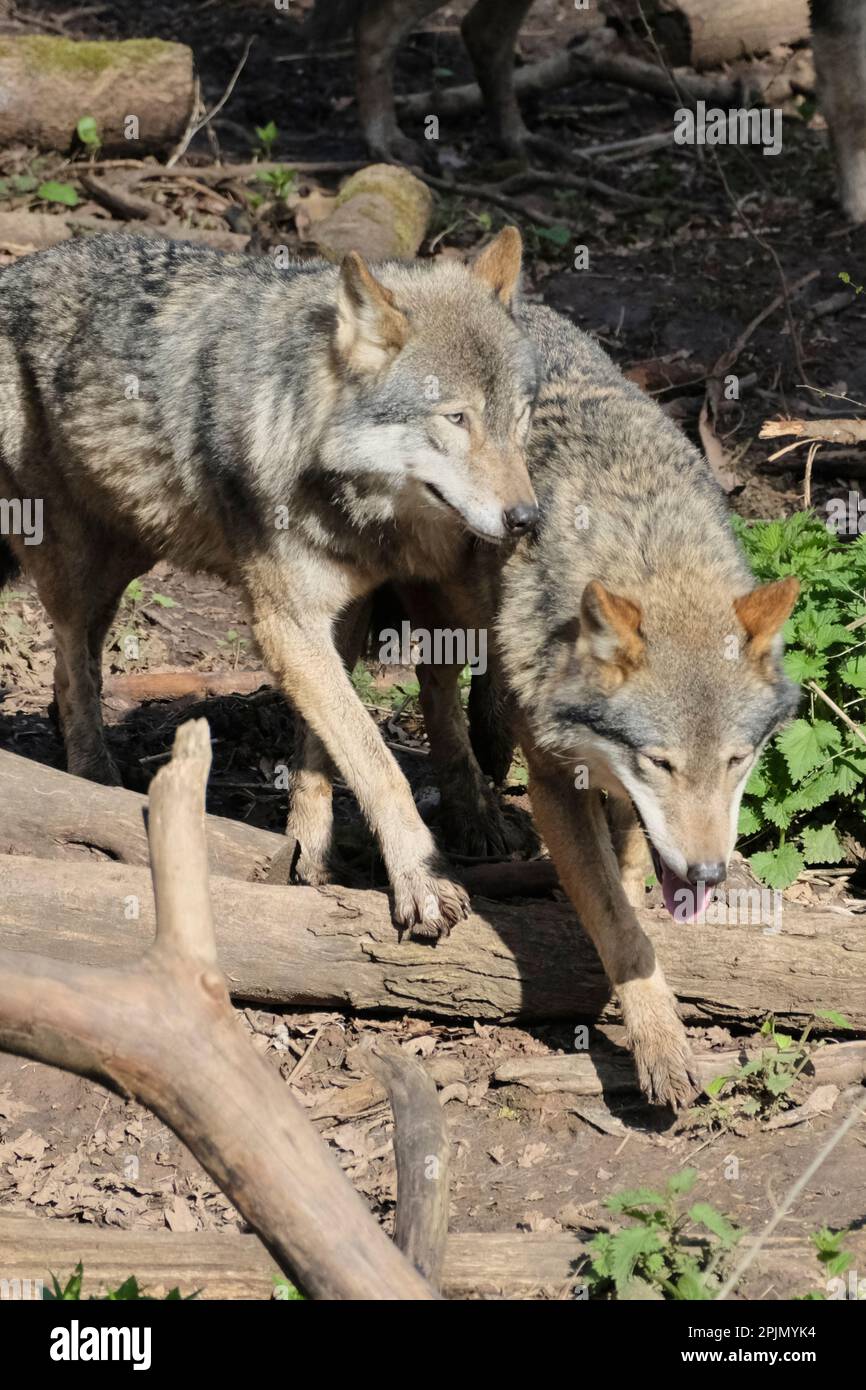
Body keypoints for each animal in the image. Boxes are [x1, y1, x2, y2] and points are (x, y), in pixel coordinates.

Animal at [0, 228, 540, 940]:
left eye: (520, 418)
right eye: (456, 418)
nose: (528, 519)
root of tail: (16, 270)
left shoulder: (339, 613)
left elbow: (323, 750)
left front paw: (307, 851)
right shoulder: (284, 624)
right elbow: (376, 760)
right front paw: (421, 881)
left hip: (130, 552)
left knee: (76, 661)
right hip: (75, 562)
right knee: (70, 666)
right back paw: (94, 778)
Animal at [291, 302, 800, 1107]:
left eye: (737, 761)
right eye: (661, 763)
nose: (709, 875)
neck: (645, 542)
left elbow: (629, 875)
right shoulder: (559, 783)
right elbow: (618, 924)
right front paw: (659, 1046)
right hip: (411, 606)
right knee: (386, 693)